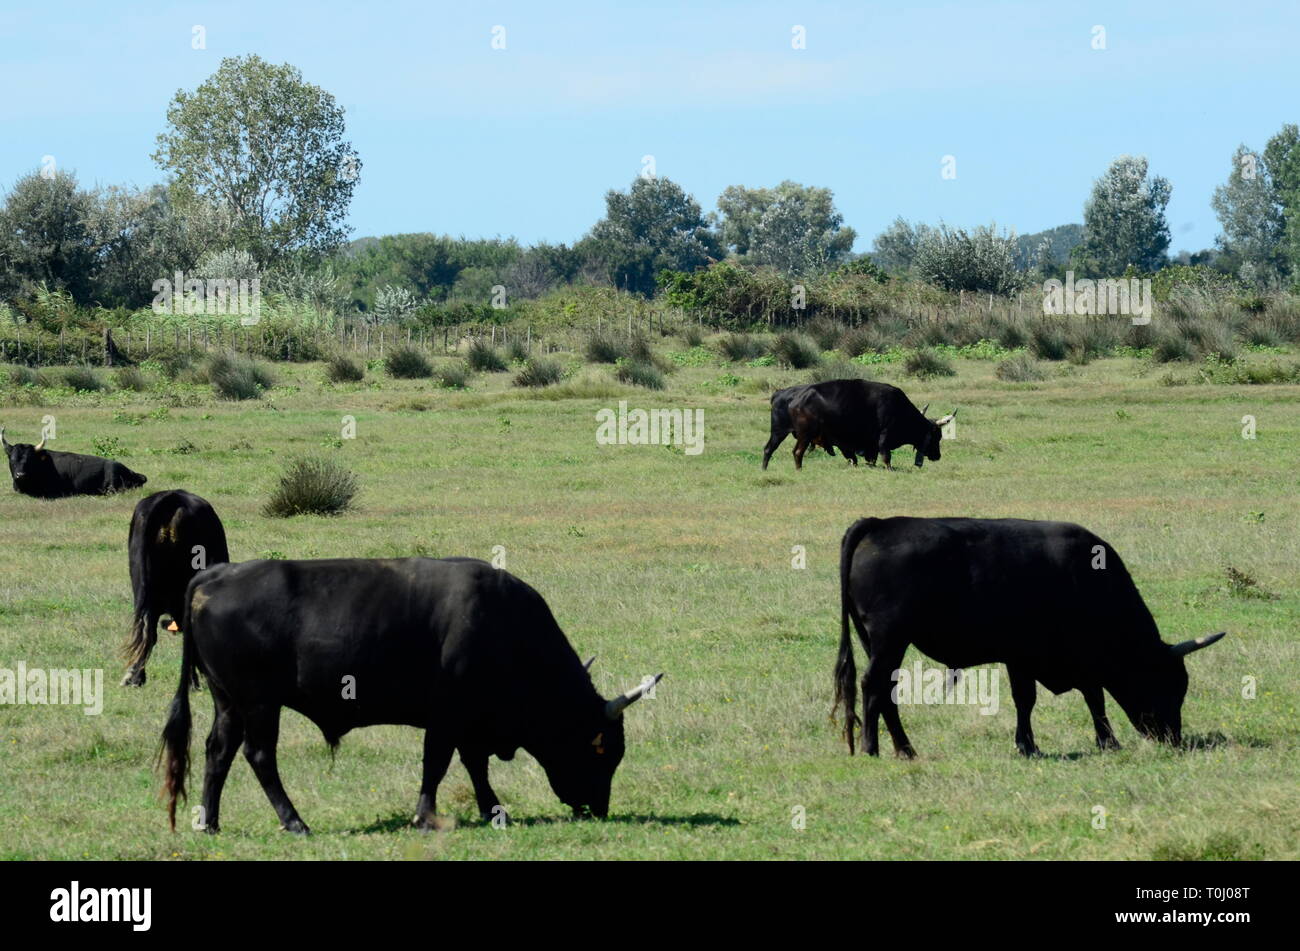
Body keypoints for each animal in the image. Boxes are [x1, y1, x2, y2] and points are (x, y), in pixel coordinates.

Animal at [160, 557, 663, 834]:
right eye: (601, 747)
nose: (599, 808)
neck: (504, 623)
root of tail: (216, 576)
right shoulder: (447, 716)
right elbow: (437, 764)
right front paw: (425, 816)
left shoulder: (469, 723)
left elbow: (473, 766)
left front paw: (492, 809)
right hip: (260, 704)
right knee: (259, 756)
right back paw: (295, 822)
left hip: (229, 704)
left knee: (218, 753)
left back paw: (210, 822)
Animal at [832, 516, 1226, 758]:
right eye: (1168, 684)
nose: (1173, 738)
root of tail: (879, 524)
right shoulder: (1073, 658)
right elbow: (1092, 697)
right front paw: (1108, 741)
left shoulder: (1020, 656)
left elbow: (1027, 700)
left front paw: (1027, 745)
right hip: (890, 640)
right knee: (873, 685)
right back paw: (875, 747)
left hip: (880, 643)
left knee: (886, 692)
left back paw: (905, 749)